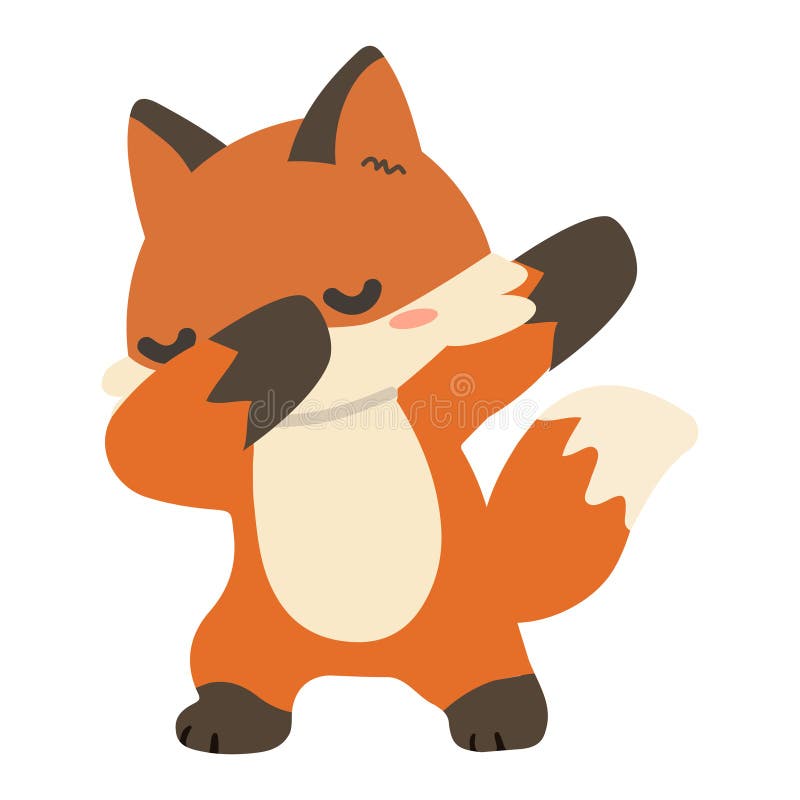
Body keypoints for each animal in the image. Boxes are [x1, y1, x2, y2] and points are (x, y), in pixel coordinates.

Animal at [104, 46, 697, 754]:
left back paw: (499, 713)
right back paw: (231, 716)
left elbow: (530, 326)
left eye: (356, 294)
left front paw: (584, 249)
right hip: (239, 631)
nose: (277, 316)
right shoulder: (208, 460)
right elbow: (139, 448)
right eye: (173, 342)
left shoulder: (443, 391)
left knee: (488, 678)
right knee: (240, 676)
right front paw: (282, 333)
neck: (331, 418)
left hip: (471, 635)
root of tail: (363, 666)